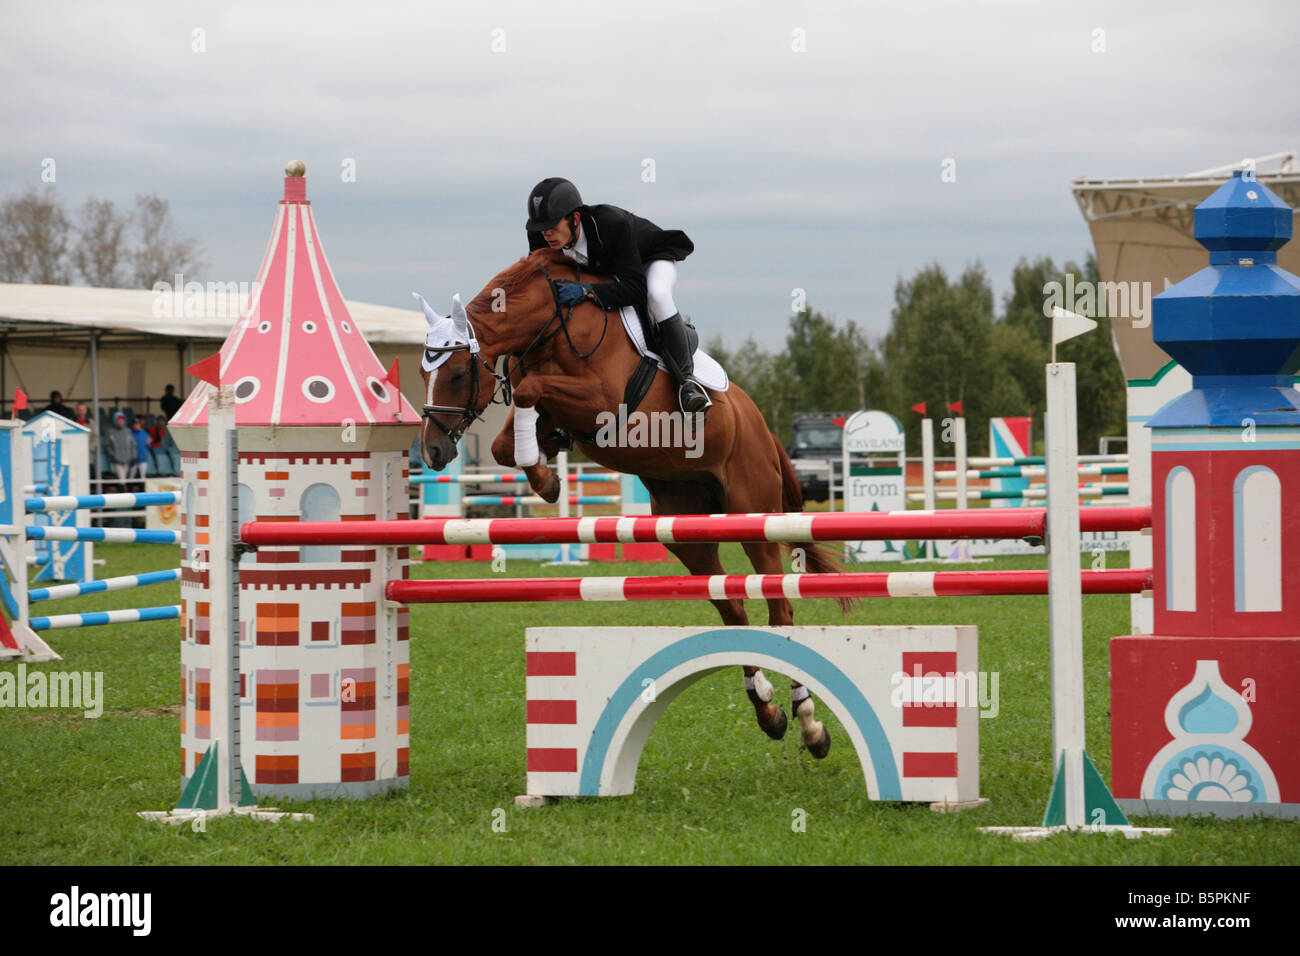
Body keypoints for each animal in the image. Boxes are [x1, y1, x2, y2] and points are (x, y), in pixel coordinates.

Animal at [416, 247, 851, 758]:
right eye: (424, 373)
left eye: (456, 373)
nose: (433, 452)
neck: (552, 323)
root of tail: (760, 424)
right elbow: (509, 442)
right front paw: (546, 480)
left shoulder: (602, 400)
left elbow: (527, 391)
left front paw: (545, 478)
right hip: (686, 531)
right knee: (733, 610)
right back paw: (767, 708)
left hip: (753, 514)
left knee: (779, 610)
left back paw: (809, 723)